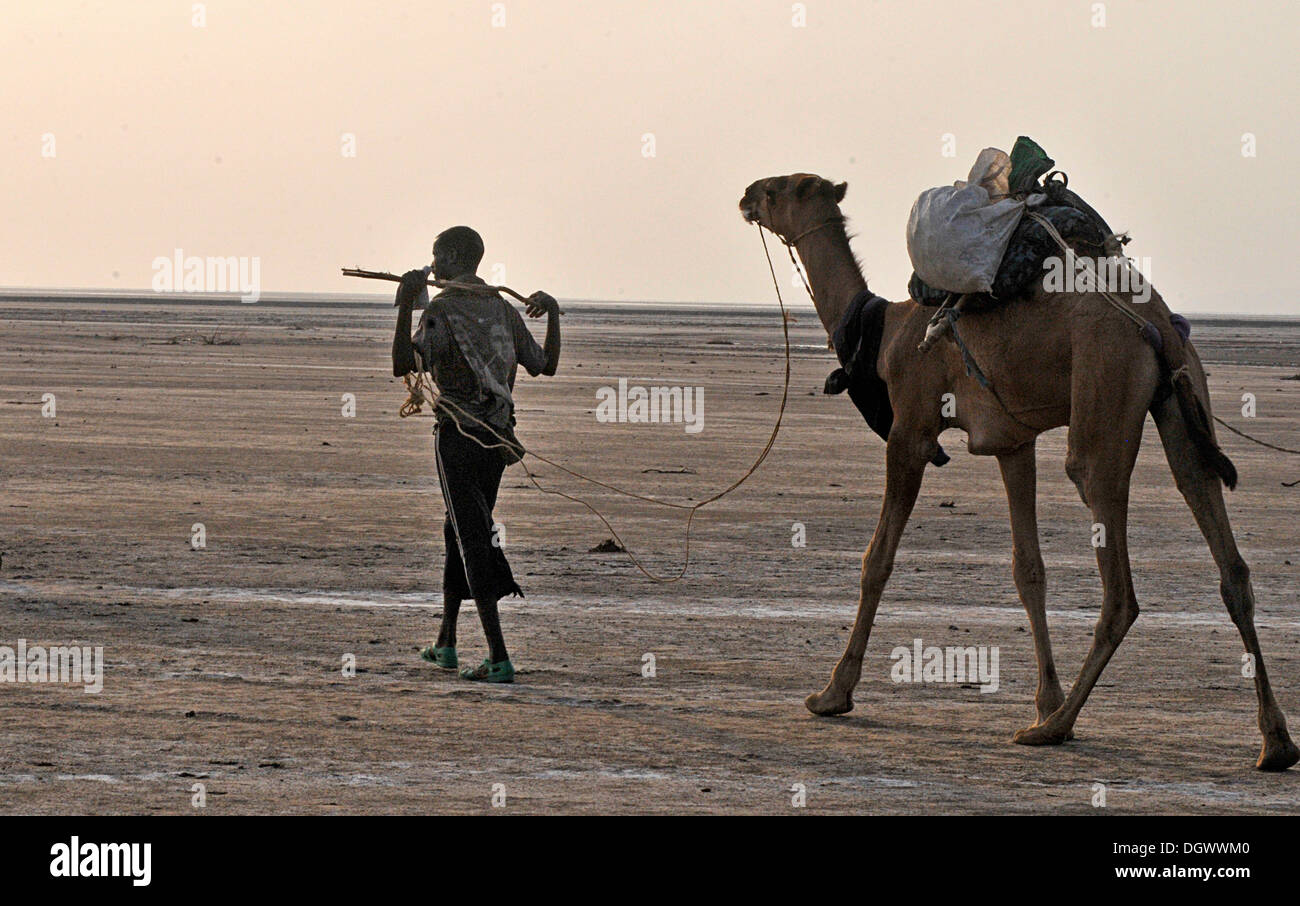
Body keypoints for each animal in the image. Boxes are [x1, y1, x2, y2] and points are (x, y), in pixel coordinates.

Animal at [739, 172, 1298, 770]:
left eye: (779, 189)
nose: (746, 196)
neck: (884, 332)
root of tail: (1155, 324)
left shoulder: (909, 431)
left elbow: (877, 561)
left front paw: (832, 693)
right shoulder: (1013, 442)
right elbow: (1029, 571)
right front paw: (1043, 697)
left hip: (1105, 391)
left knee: (1116, 572)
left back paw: (1057, 727)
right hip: (1181, 398)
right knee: (1224, 550)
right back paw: (1275, 741)